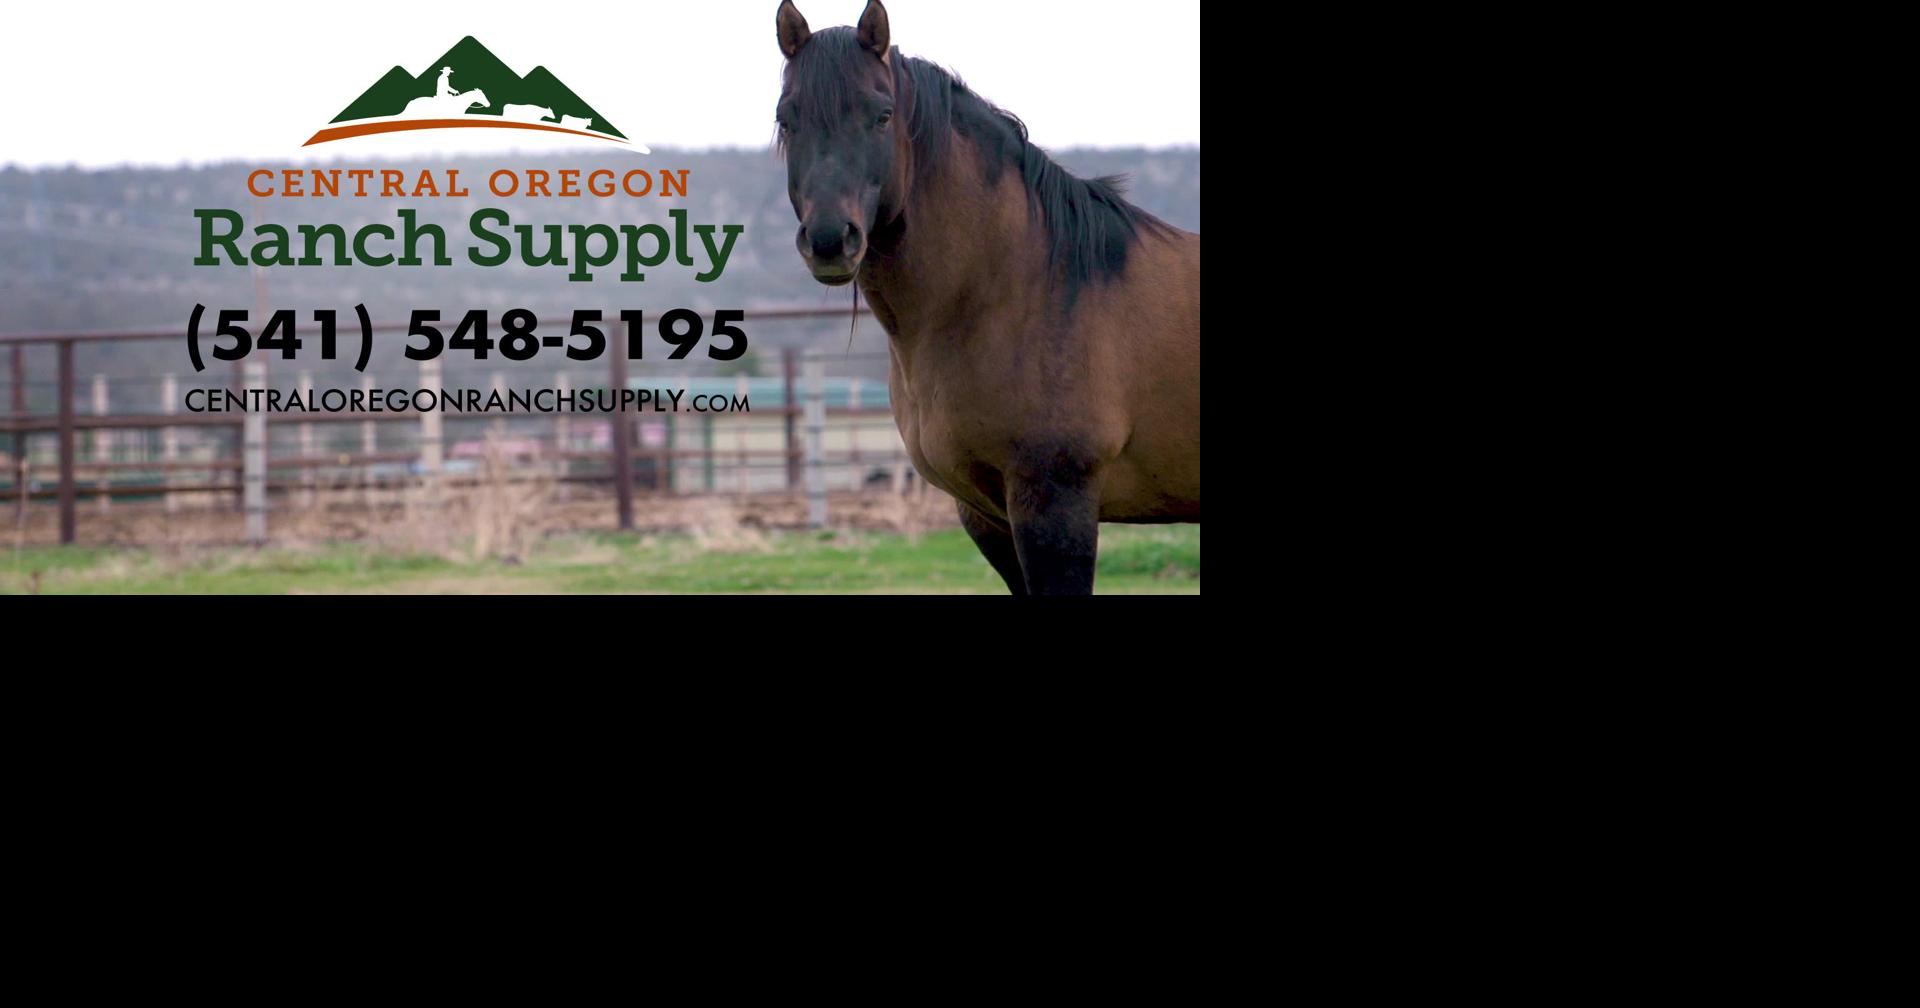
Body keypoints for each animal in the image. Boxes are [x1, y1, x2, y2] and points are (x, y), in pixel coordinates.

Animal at [773, 0, 1200, 595]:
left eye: (882, 115)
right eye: (786, 119)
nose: (832, 240)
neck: (1019, 291)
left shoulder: (1055, 505)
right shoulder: (986, 515)